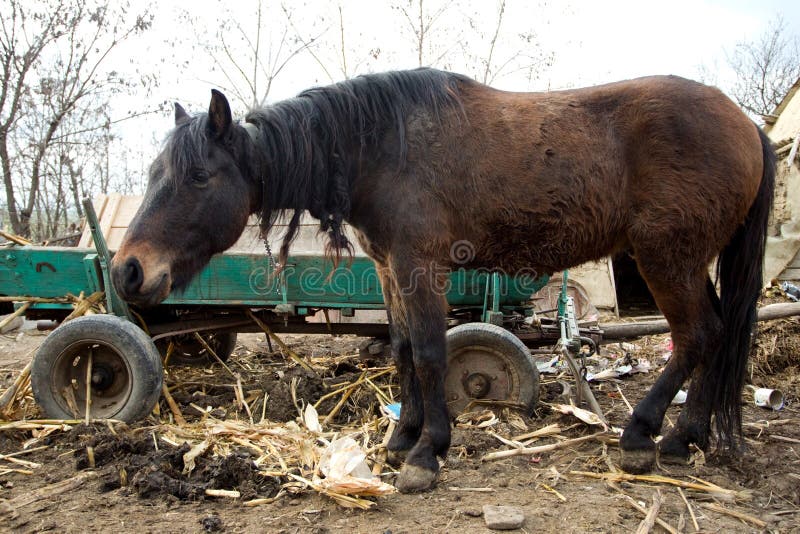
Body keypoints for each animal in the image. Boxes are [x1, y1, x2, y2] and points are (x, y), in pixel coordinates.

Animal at [110, 68, 776, 493]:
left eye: (197, 176)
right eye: (154, 173)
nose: (127, 269)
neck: (378, 149)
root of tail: (748, 125)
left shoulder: (420, 266)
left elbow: (431, 352)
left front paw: (429, 452)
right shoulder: (389, 269)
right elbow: (403, 350)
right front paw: (402, 437)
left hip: (667, 260)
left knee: (696, 336)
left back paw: (644, 434)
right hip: (689, 262)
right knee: (716, 334)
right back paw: (687, 437)